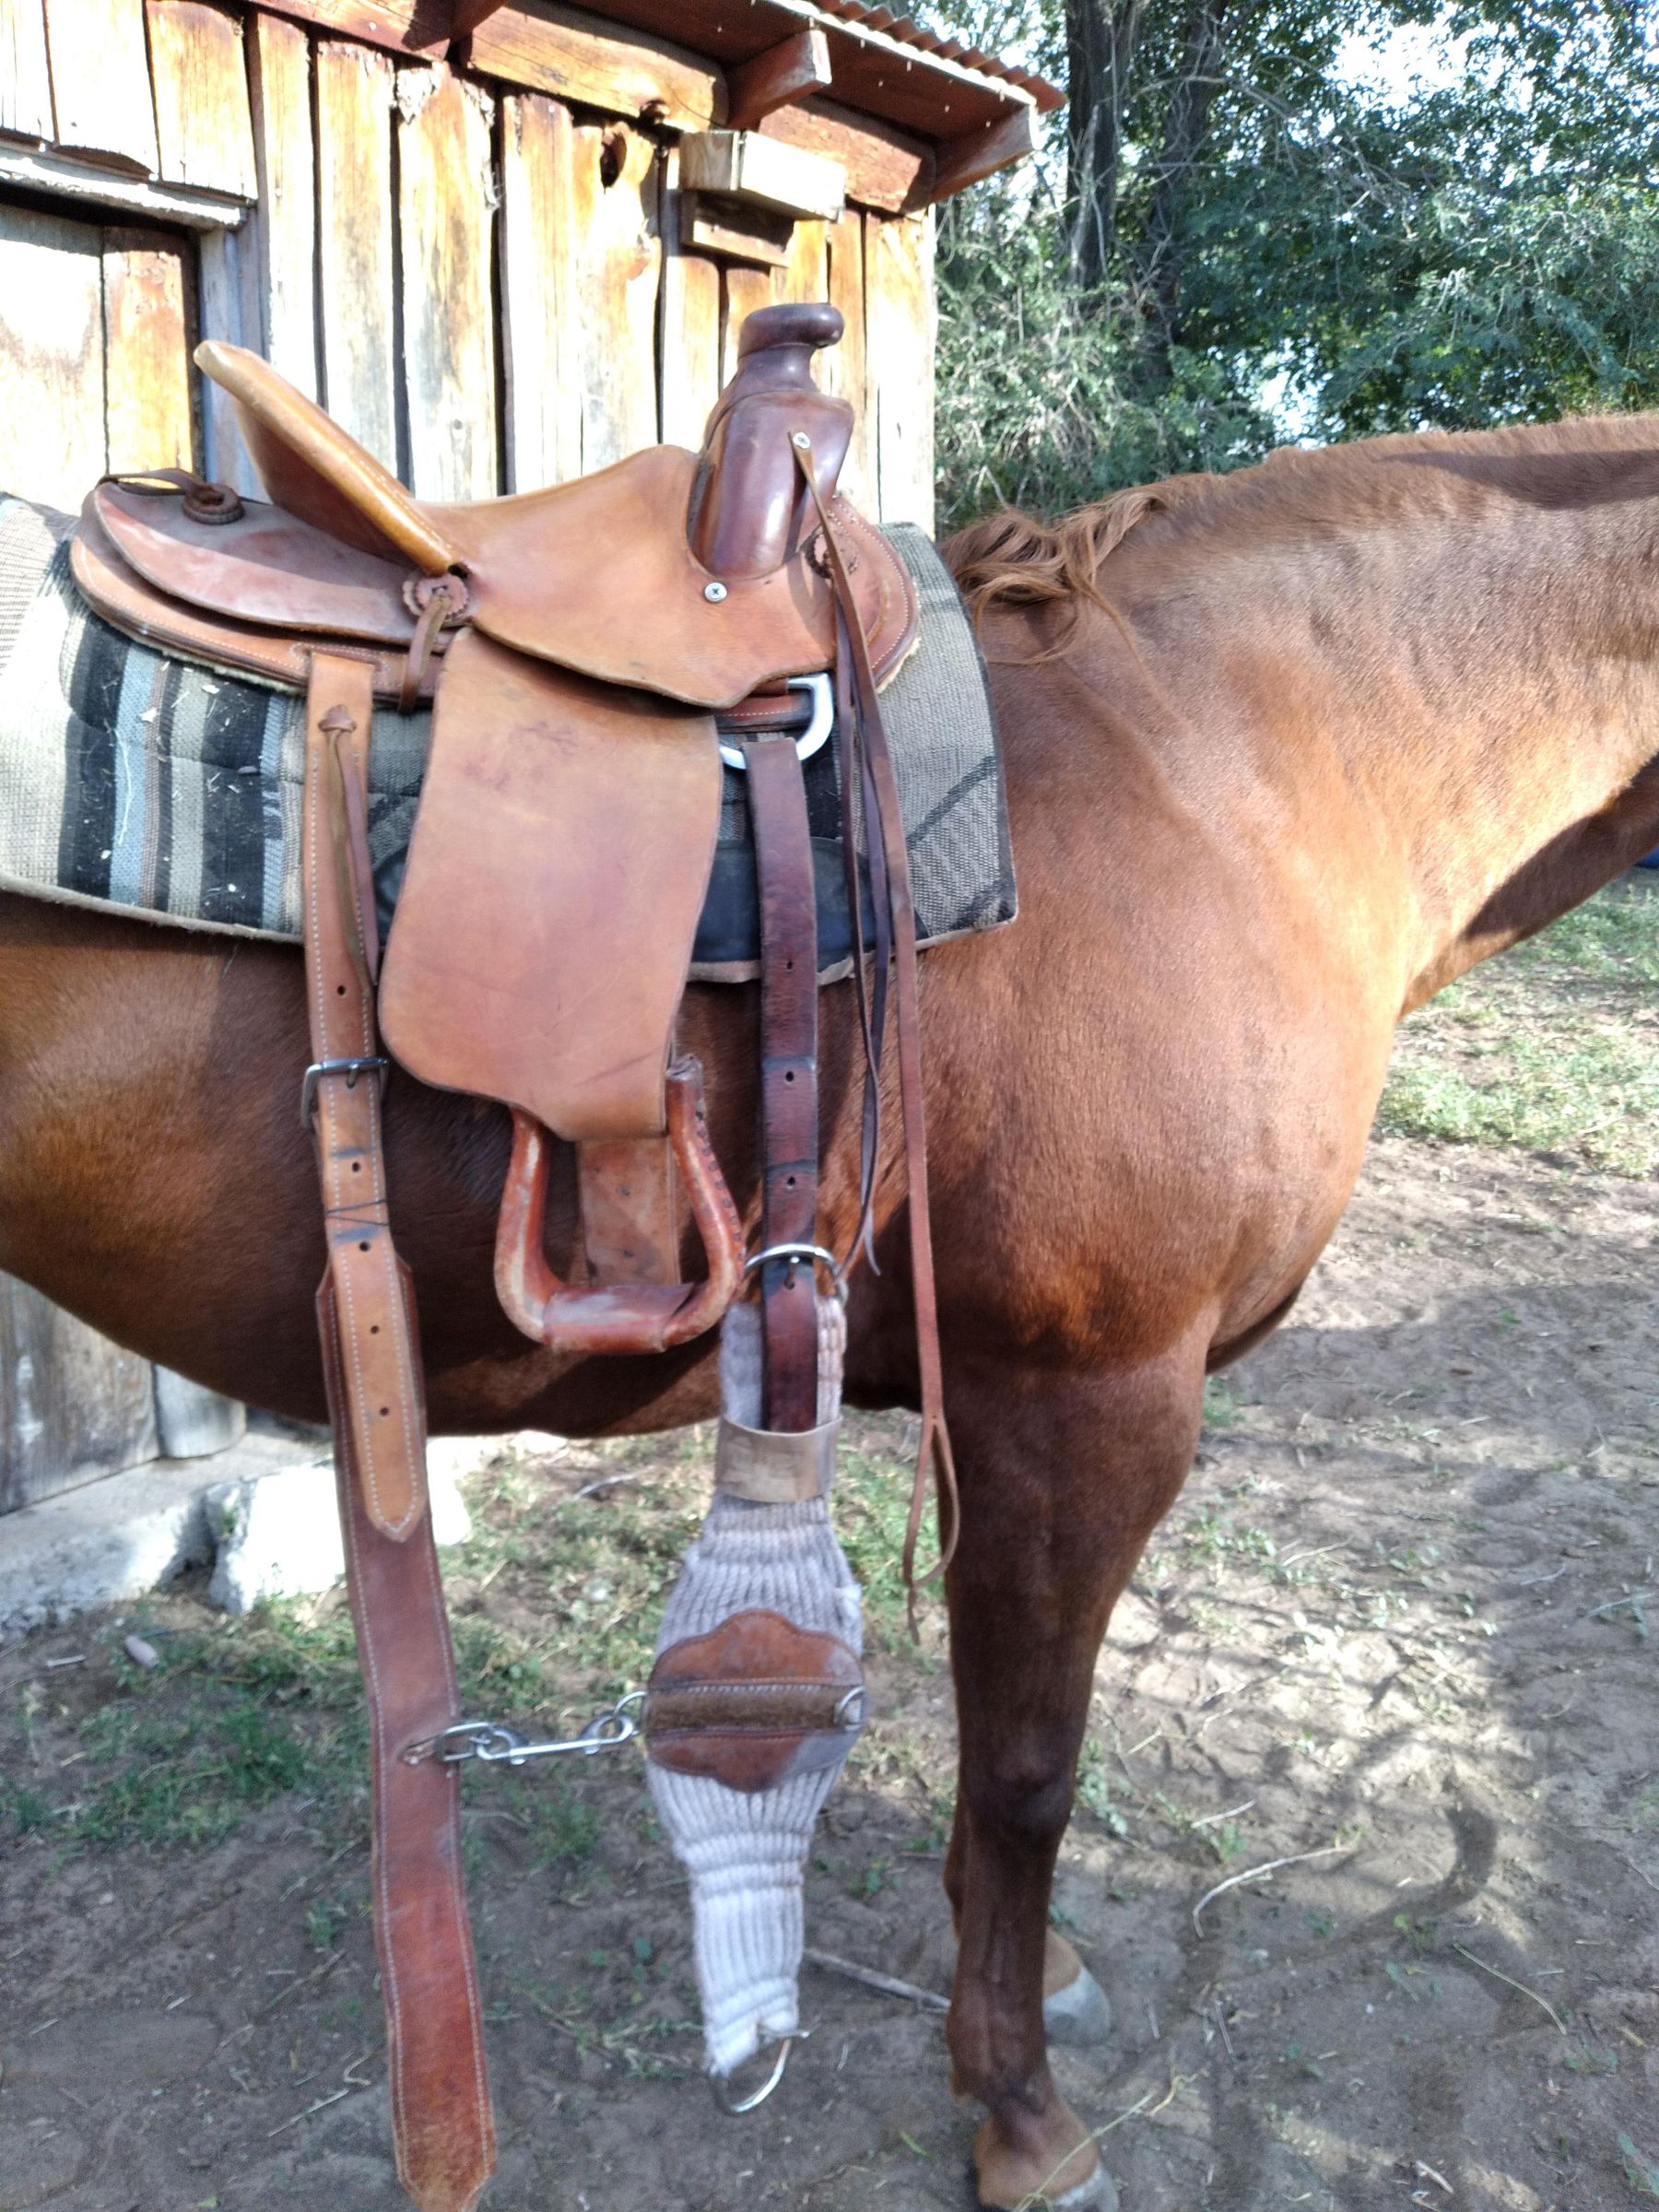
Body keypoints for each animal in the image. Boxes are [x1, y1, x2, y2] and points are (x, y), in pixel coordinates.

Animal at [4, 407, 1659, 2209]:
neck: (1234, 752)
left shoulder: (990, 1399)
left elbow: (994, 1753)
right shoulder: (1092, 1400)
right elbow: (1029, 1767)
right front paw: (1021, 2112)